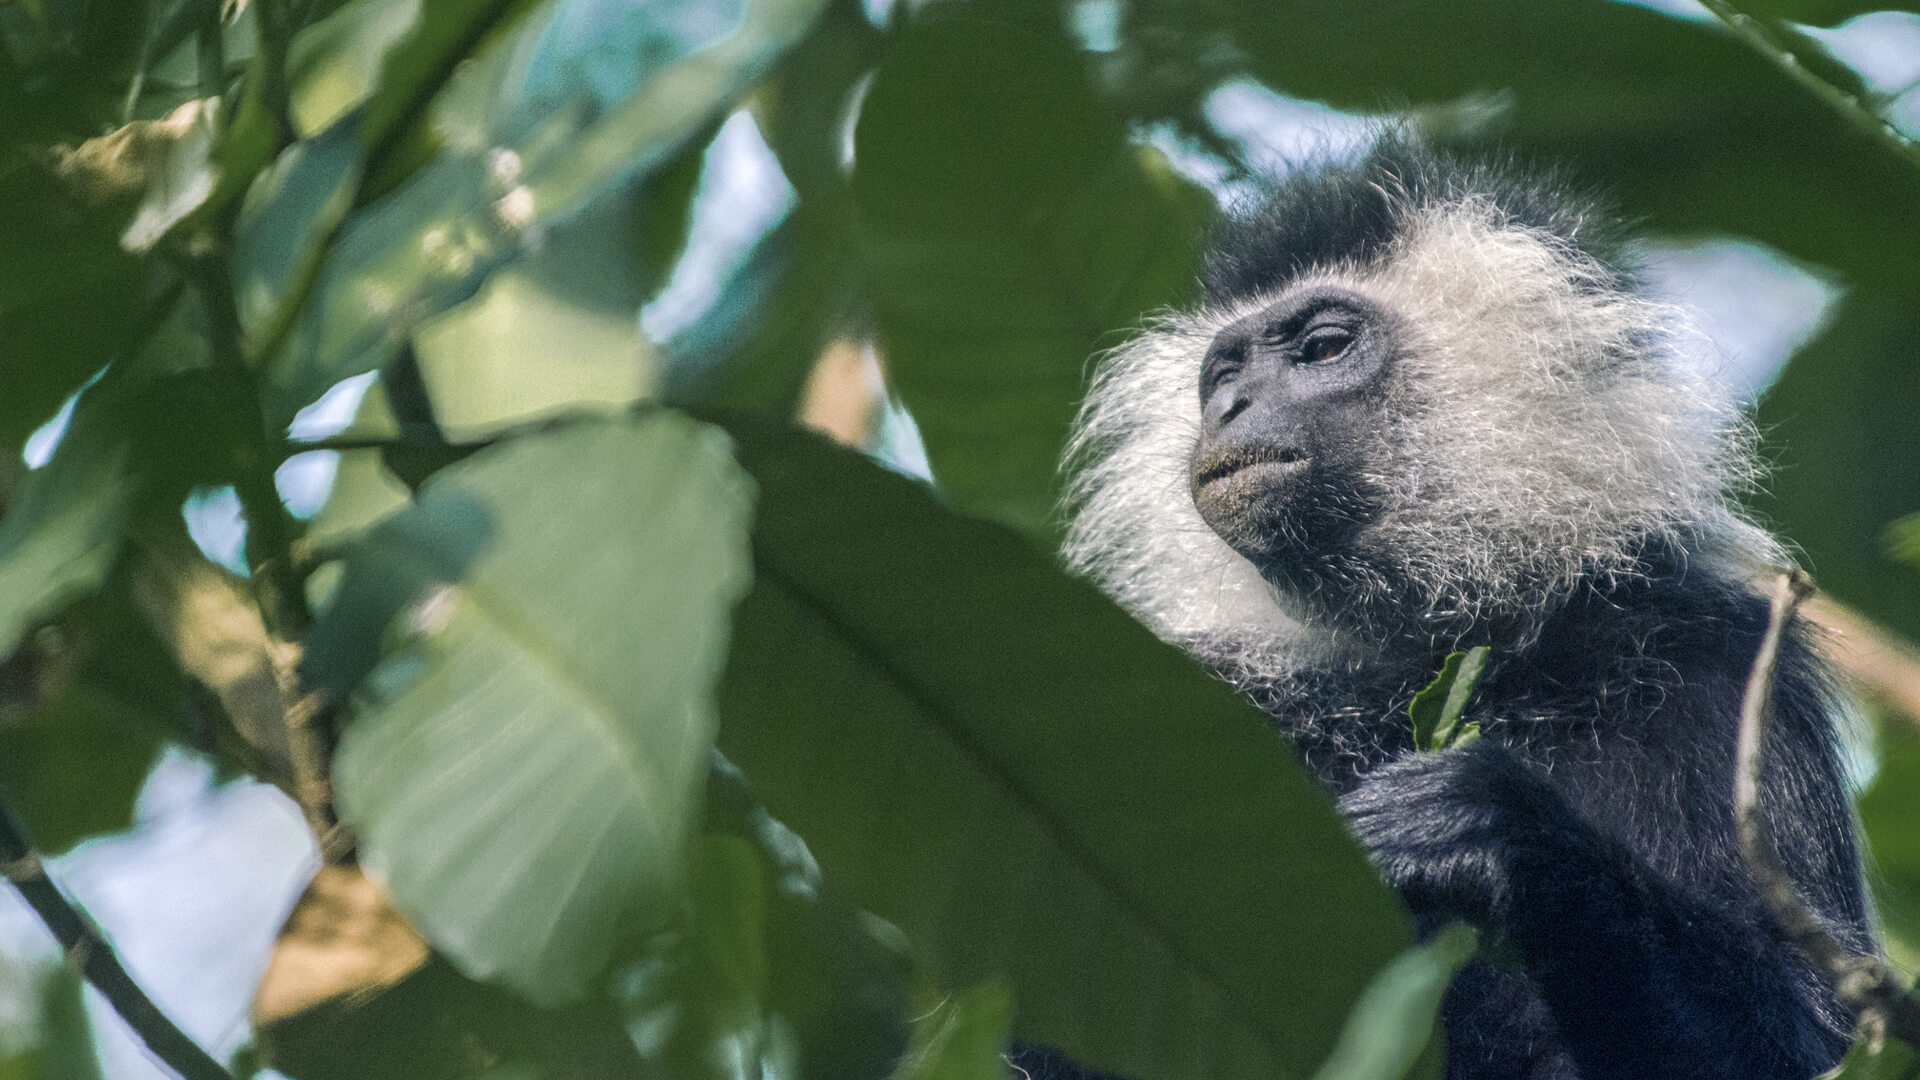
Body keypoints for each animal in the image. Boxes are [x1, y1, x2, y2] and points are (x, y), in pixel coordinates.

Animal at [1014, 136, 1875, 1079]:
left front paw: (1490, 829)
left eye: (1321, 347)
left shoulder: (1728, 668)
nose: (1230, 409)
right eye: (1224, 377)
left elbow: (1829, 1037)